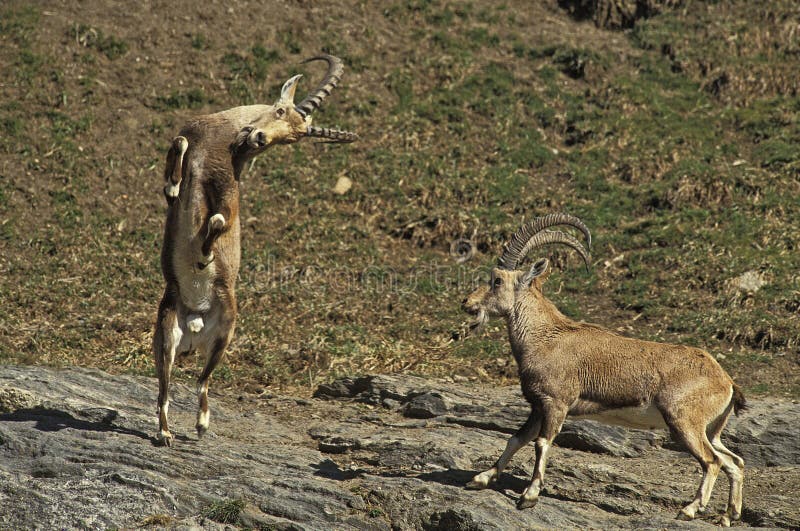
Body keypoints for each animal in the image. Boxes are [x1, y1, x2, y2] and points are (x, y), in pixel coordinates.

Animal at [153, 54, 357, 447]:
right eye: (279, 110)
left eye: (292, 137)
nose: (257, 138)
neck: (221, 137)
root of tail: (195, 325)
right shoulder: (194, 148)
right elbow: (180, 145)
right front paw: (173, 187)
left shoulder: (230, 194)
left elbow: (219, 221)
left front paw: (205, 256)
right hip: (166, 333)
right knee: (166, 388)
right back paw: (167, 433)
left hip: (224, 334)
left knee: (201, 381)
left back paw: (200, 426)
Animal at [462, 213, 745, 526]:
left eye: (497, 280)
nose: (467, 303)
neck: (545, 336)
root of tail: (727, 383)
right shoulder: (538, 405)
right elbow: (516, 438)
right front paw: (481, 478)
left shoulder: (555, 403)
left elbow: (542, 443)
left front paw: (529, 496)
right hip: (711, 430)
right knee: (735, 462)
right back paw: (729, 515)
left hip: (684, 422)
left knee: (712, 461)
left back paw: (690, 509)